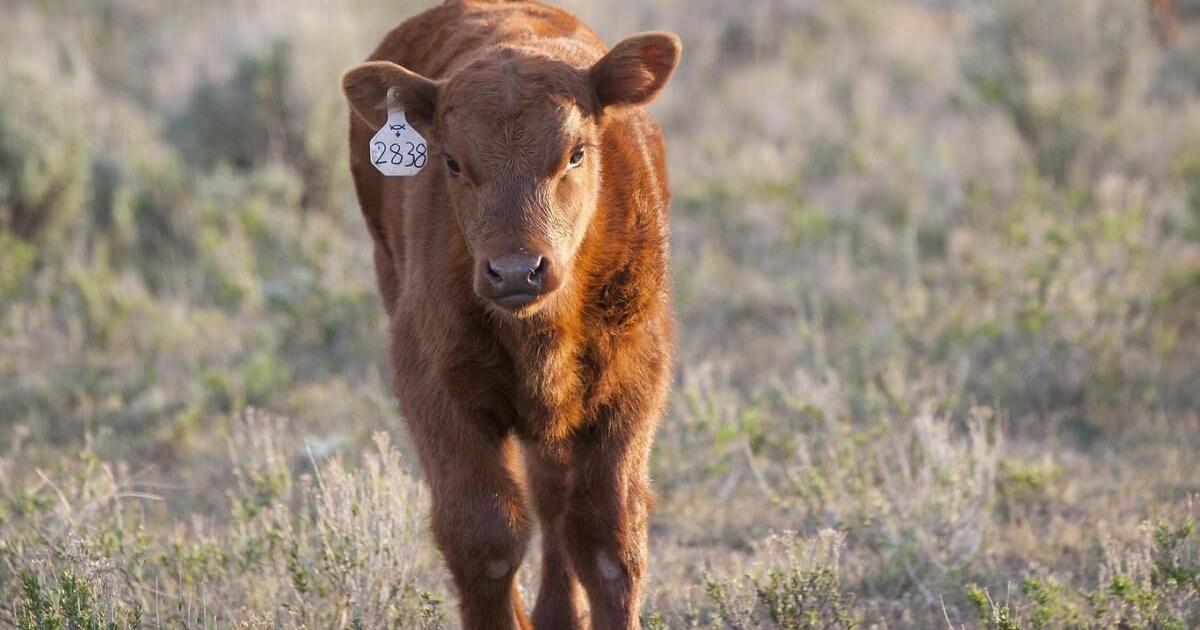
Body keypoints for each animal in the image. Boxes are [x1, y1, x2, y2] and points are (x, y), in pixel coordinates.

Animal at [340, 1, 680, 628]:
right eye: (452, 161)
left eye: (576, 152)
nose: (518, 270)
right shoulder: (434, 385)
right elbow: (485, 537)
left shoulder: (633, 379)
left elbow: (609, 541)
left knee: (553, 492)